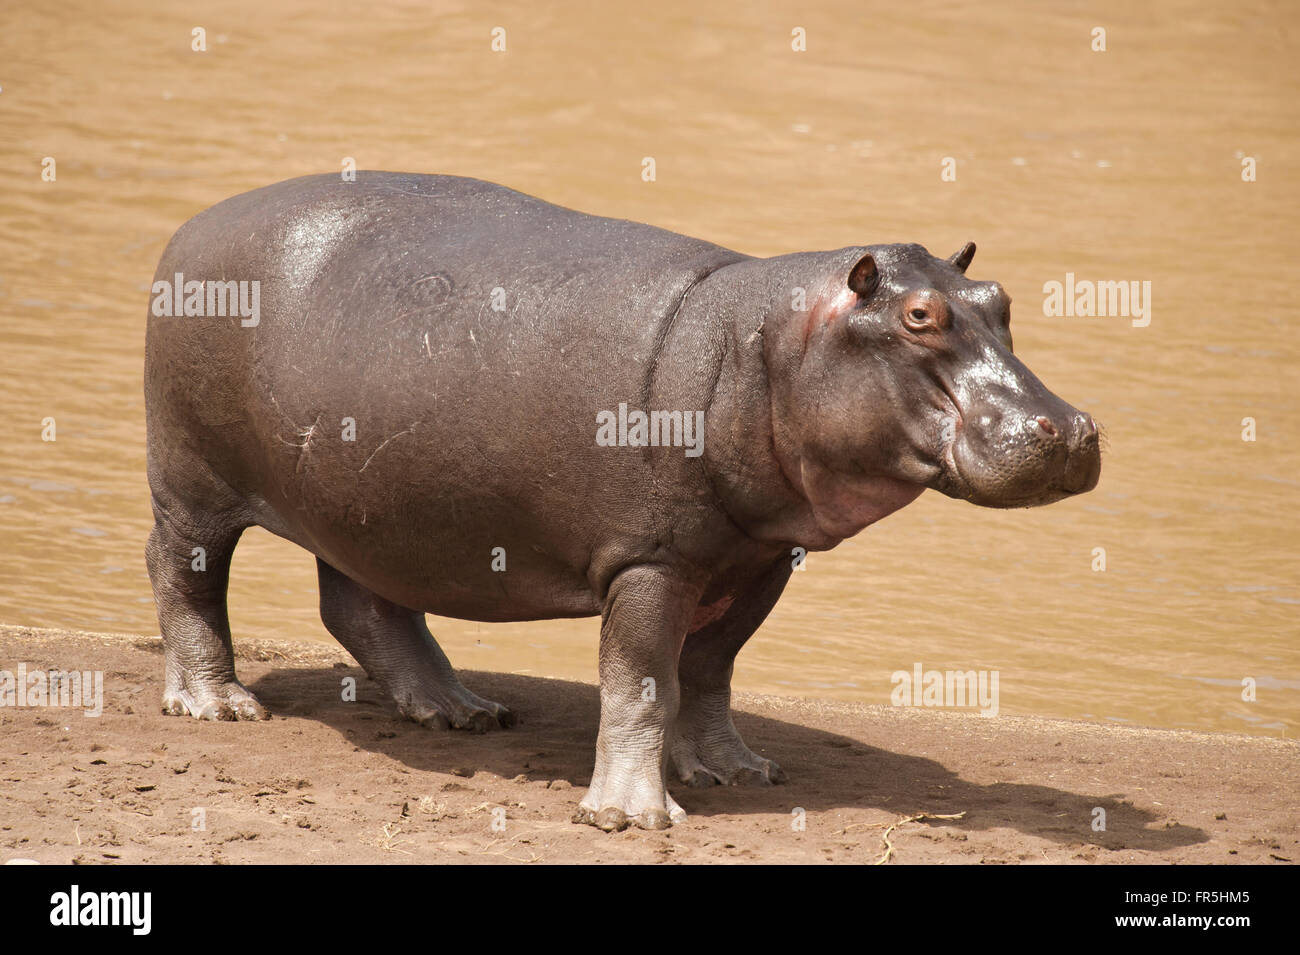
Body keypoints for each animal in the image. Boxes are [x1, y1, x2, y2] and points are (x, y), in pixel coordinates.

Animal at [144, 172, 1100, 832]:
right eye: (918, 316)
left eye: (999, 300)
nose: (1071, 427)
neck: (765, 345)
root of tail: (192, 224)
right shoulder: (652, 558)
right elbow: (640, 680)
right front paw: (632, 816)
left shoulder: (755, 557)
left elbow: (708, 670)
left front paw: (737, 771)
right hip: (195, 484)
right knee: (183, 574)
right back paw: (219, 704)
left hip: (372, 505)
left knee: (363, 600)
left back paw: (463, 712)